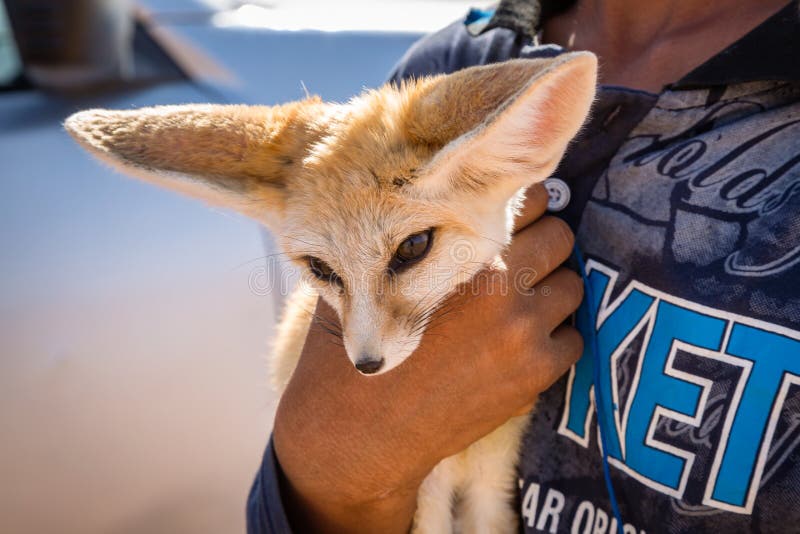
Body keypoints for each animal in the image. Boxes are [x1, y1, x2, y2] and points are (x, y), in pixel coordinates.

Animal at [65, 51, 597, 533]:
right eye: (320, 269)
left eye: (413, 247)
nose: (366, 365)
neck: (461, 454)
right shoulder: (424, 493)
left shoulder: (493, 481)